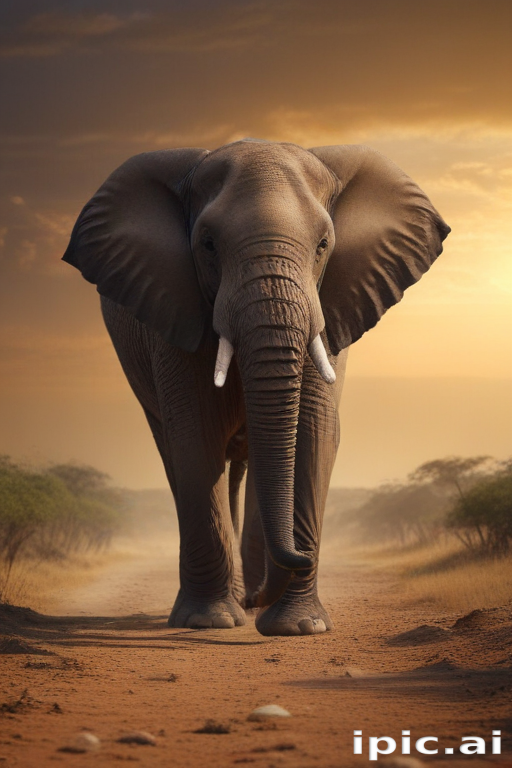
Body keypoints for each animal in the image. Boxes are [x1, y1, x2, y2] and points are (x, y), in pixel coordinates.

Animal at [63, 139, 449, 636]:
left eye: (324, 245)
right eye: (208, 244)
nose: (300, 554)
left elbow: (314, 436)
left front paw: (300, 627)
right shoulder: (173, 309)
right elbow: (195, 435)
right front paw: (208, 622)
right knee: (179, 453)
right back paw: (229, 606)